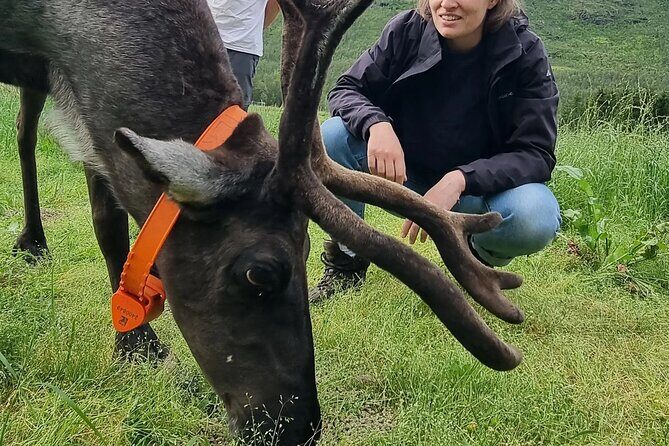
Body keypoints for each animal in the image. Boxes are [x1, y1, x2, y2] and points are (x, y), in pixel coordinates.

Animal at [0, 0, 527, 444]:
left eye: (310, 250)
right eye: (259, 273)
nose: (298, 429)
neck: (52, 23)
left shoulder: (86, 106)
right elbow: (108, 227)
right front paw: (137, 348)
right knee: (25, 134)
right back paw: (32, 239)